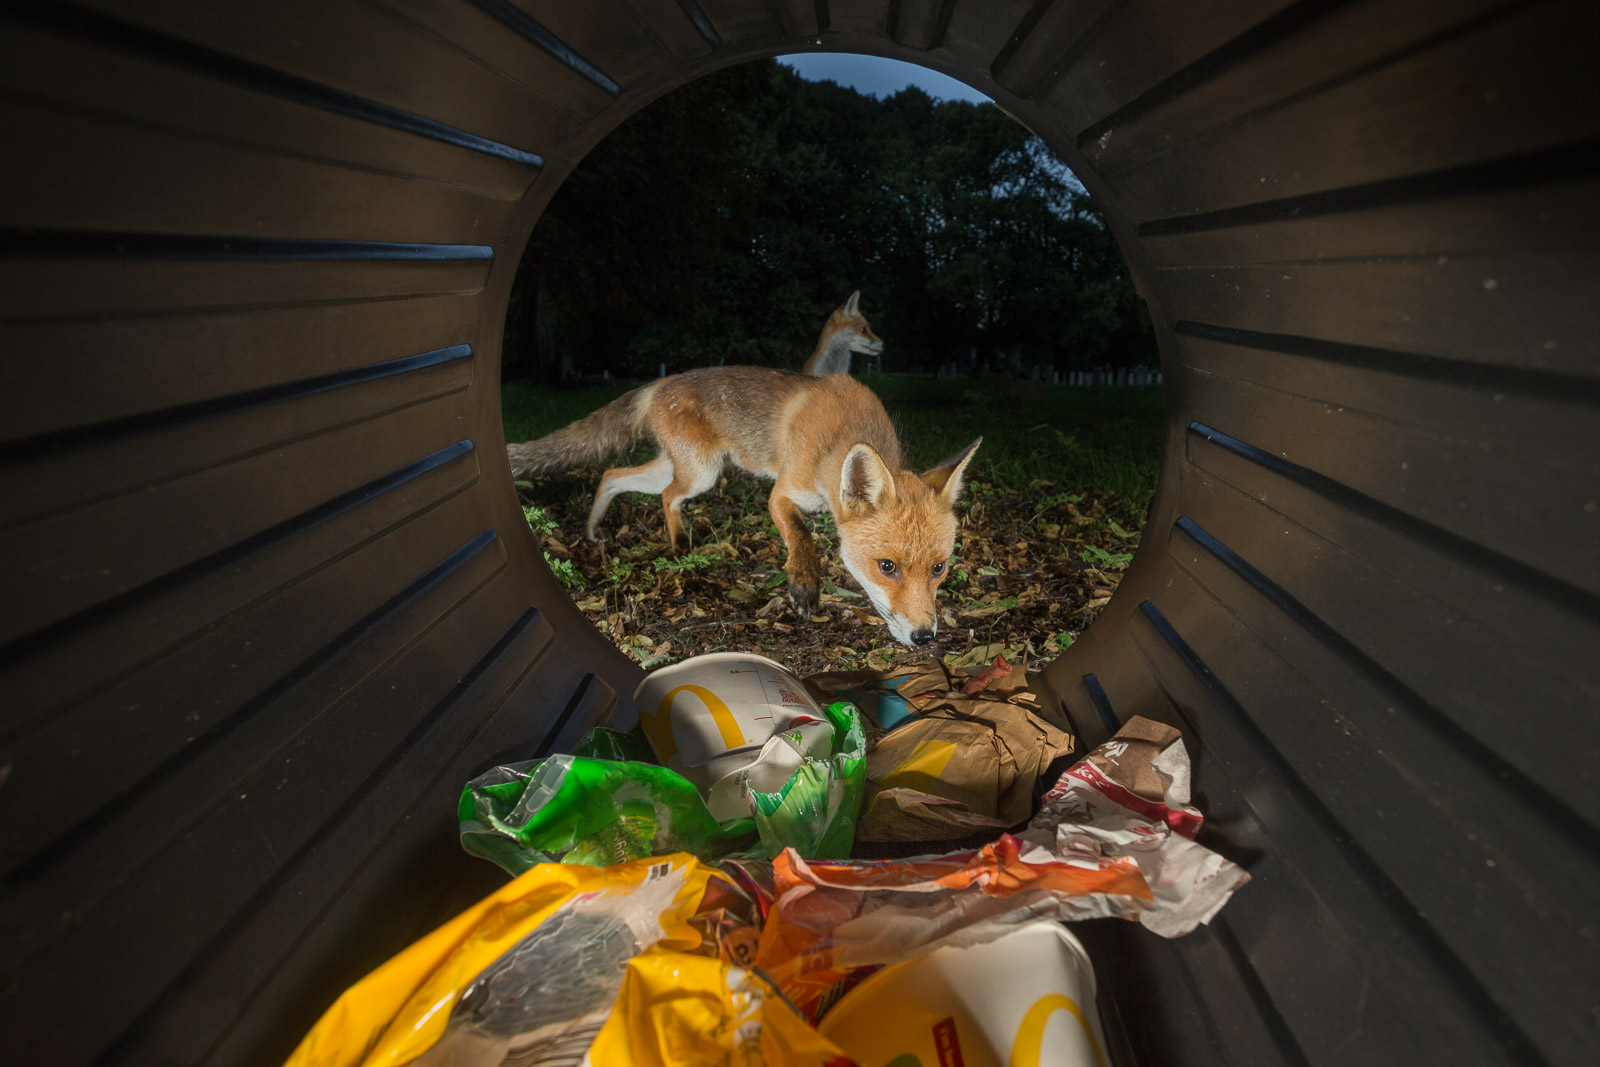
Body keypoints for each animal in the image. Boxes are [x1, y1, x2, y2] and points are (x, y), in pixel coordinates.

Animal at [507, 311, 979, 649]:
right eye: (887, 567)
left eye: (939, 568)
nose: (925, 637)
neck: (837, 439)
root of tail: (662, 381)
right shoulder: (783, 491)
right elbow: (801, 534)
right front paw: (804, 586)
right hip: (701, 473)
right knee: (666, 494)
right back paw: (678, 544)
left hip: (678, 467)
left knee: (613, 475)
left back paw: (594, 529)